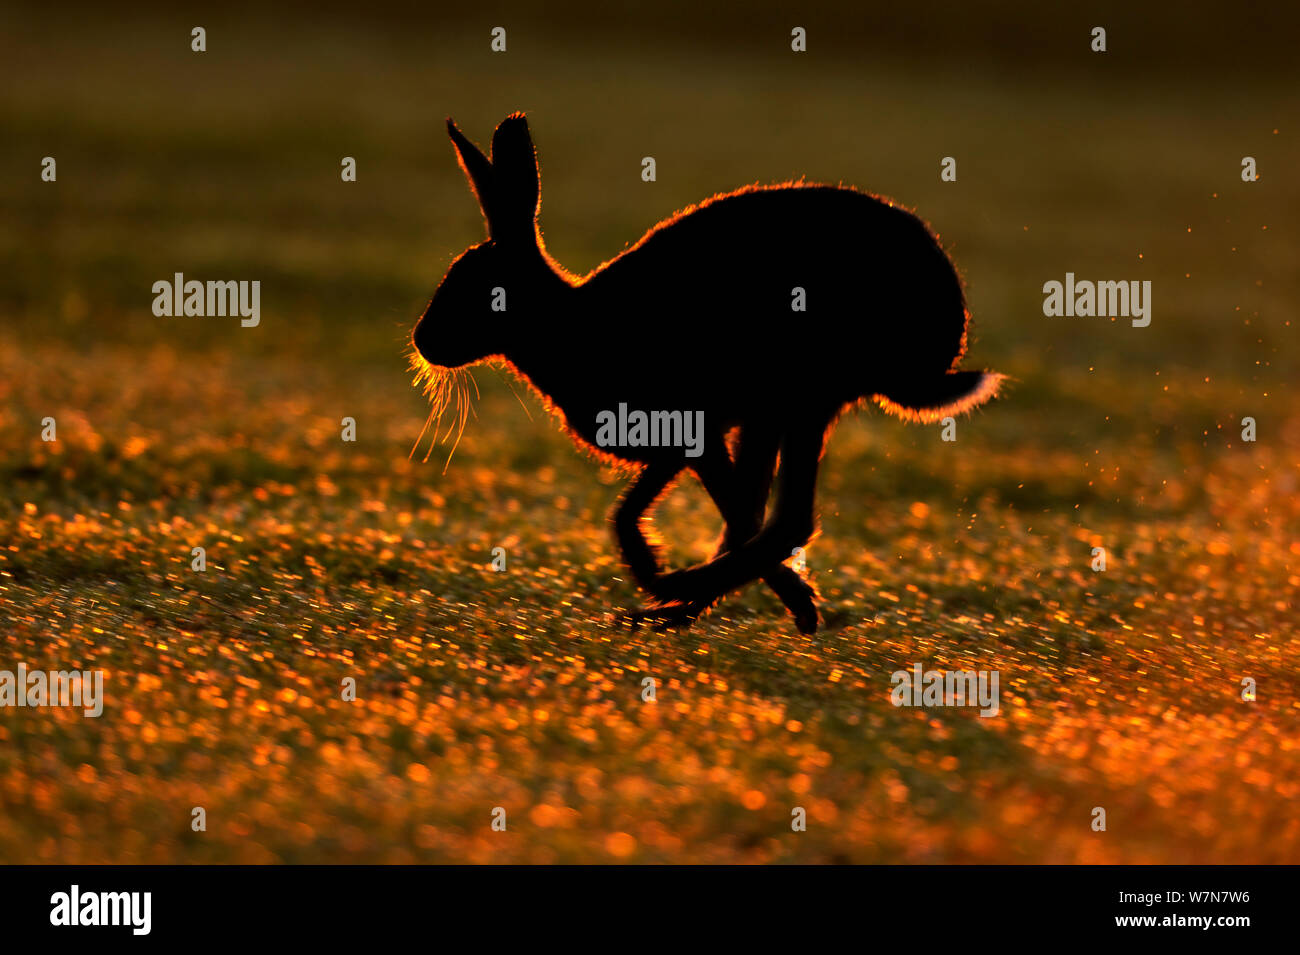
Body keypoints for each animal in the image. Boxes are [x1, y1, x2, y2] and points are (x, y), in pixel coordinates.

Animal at [412, 112, 1003, 634]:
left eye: (479, 290)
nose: (423, 342)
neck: (564, 322)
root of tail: (941, 345)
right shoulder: (686, 441)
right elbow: (672, 512)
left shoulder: (688, 428)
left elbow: (666, 515)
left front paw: (663, 574)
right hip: (775, 412)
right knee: (760, 518)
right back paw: (679, 610)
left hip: (807, 391)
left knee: (785, 520)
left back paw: (683, 596)